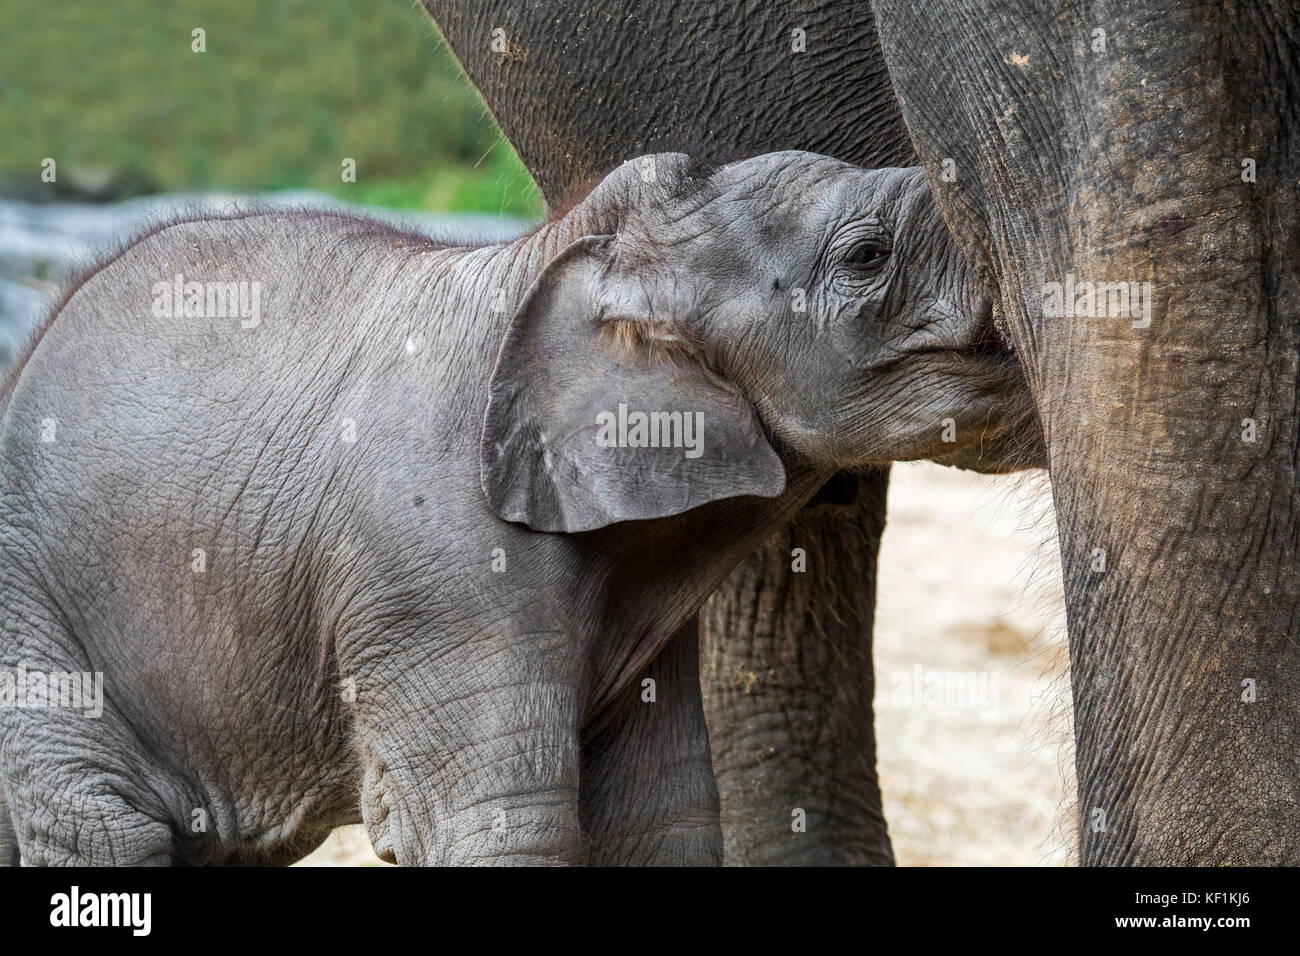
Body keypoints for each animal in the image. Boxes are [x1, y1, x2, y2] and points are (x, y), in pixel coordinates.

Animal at [0, 150, 1033, 864]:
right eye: (867, 255)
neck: (556, 258)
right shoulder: (438, 574)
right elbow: (504, 831)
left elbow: (663, 828)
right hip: (34, 621)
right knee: (106, 833)